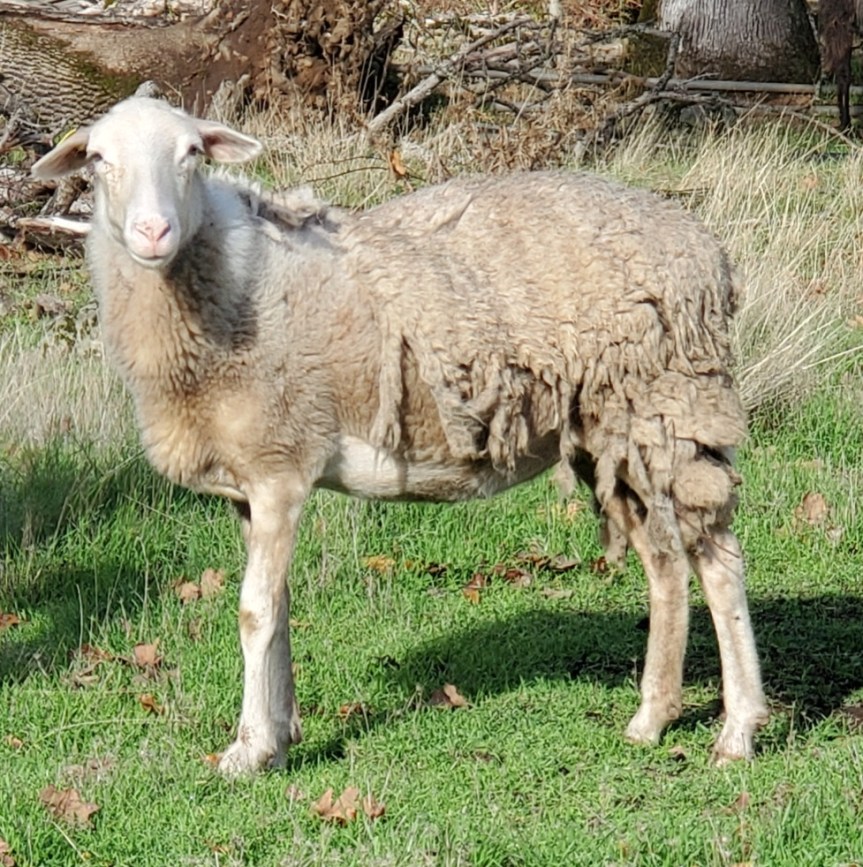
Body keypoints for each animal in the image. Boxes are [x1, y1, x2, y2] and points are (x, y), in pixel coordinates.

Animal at [32, 96, 769, 775]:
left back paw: (737, 731)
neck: (231, 288)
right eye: (98, 159)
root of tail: (705, 245)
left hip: (667, 401)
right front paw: (283, 731)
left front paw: (248, 749)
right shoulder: (249, 483)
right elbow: (280, 607)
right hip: (612, 427)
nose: (152, 231)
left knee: (718, 559)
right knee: (666, 560)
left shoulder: (279, 466)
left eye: (191, 153)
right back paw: (651, 718)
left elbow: (253, 611)